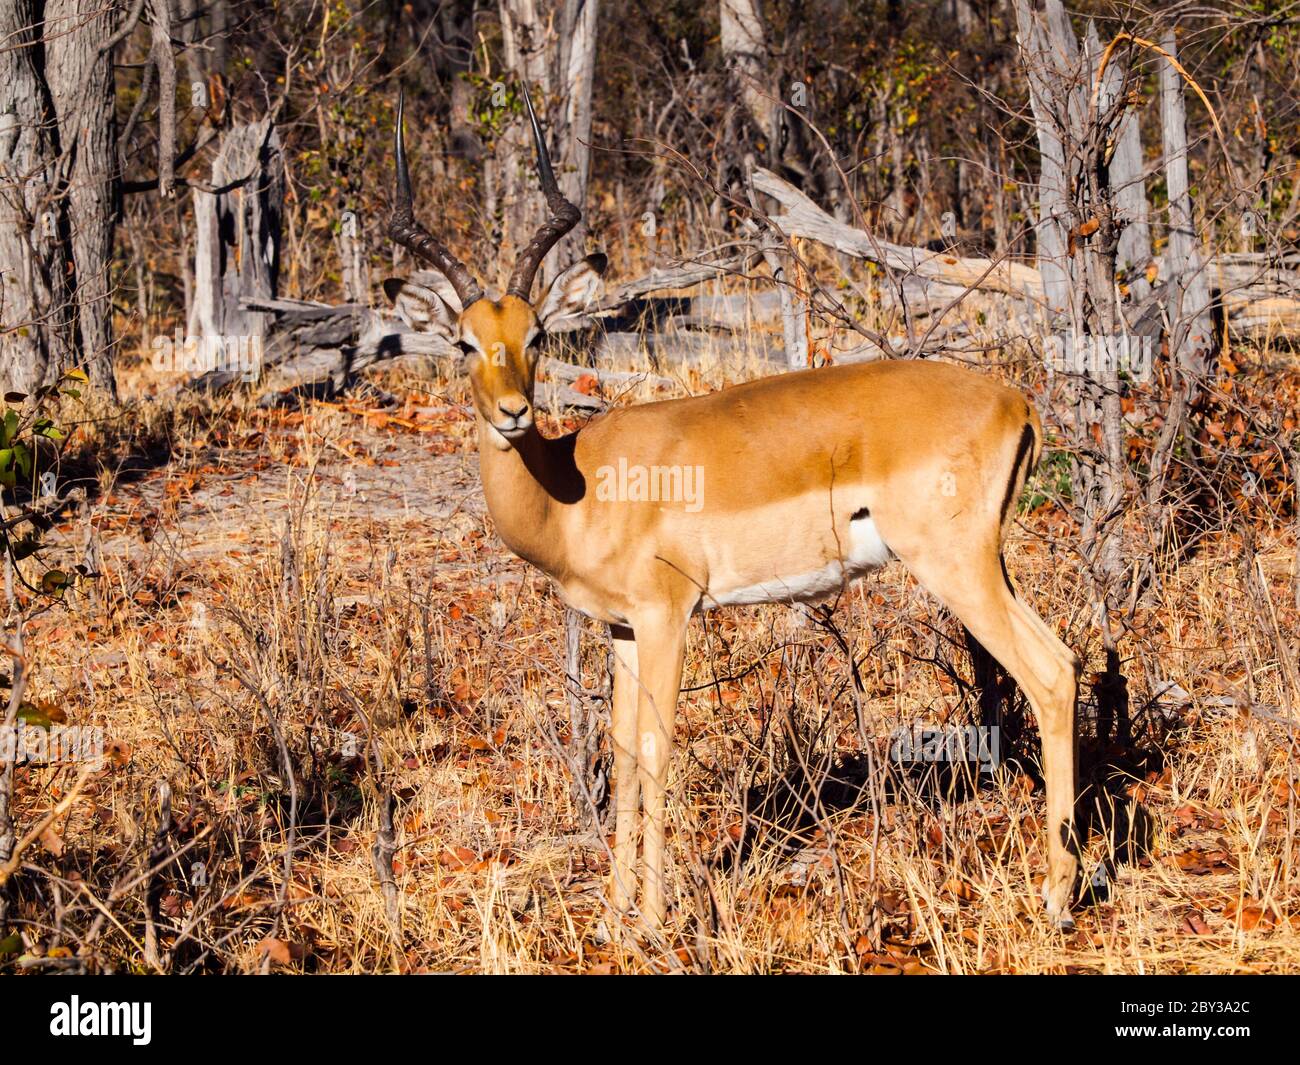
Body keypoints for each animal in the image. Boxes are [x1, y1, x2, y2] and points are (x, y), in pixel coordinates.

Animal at [385, 88, 1082, 930]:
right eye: (463, 342)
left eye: (538, 334)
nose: (515, 412)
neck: (576, 485)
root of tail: (1015, 401)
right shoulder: (621, 629)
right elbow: (622, 754)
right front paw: (614, 909)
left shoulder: (668, 614)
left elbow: (657, 749)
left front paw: (652, 918)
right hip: (989, 564)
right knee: (1067, 660)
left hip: (955, 567)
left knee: (1049, 674)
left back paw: (1057, 895)